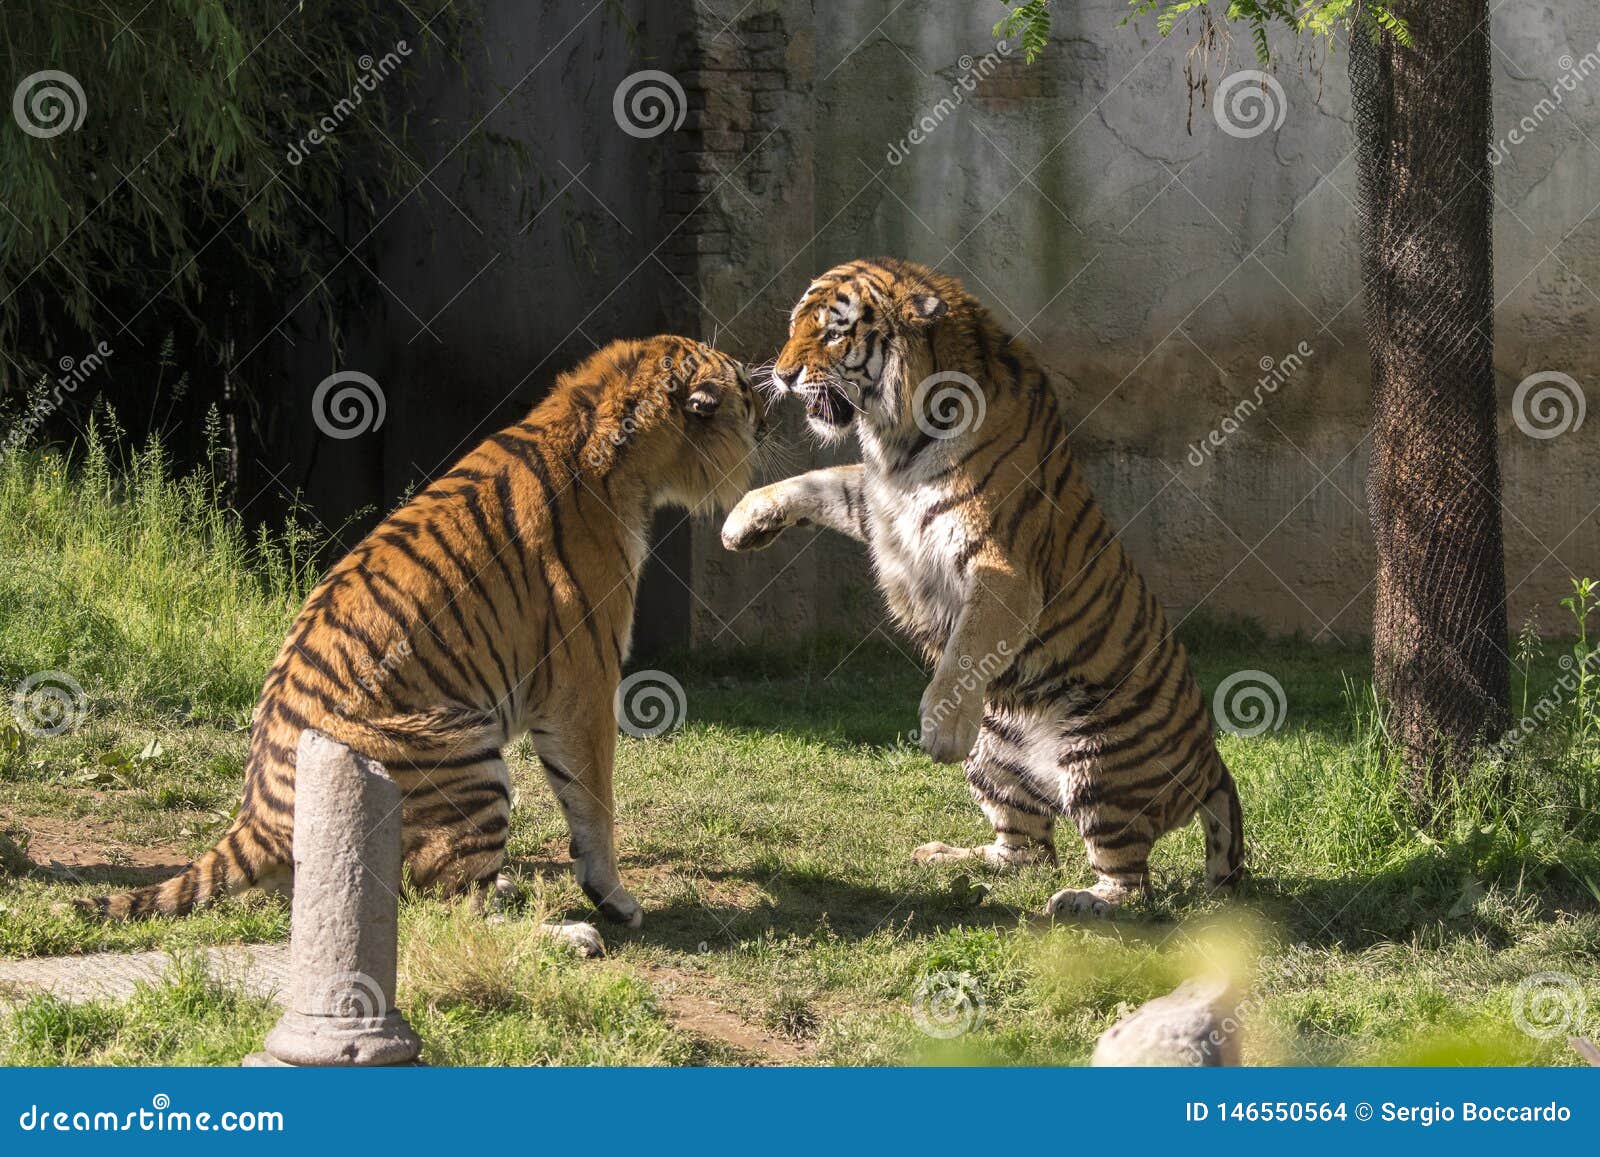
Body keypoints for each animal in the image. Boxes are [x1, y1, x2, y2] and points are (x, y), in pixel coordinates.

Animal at [80, 335, 766, 927]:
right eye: (740, 383)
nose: (769, 392)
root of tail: (257, 818)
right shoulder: (585, 681)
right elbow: (593, 797)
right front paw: (613, 898)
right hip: (466, 751)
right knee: (452, 910)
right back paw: (566, 934)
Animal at [721, 258, 1244, 914]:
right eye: (795, 326)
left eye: (834, 332)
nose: (784, 375)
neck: (898, 436)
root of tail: (1211, 761)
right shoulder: (880, 503)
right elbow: (817, 481)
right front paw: (742, 522)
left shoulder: (1001, 567)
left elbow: (967, 649)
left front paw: (939, 731)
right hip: (994, 756)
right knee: (1027, 851)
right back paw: (947, 856)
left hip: (1101, 765)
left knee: (1132, 883)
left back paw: (1082, 902)